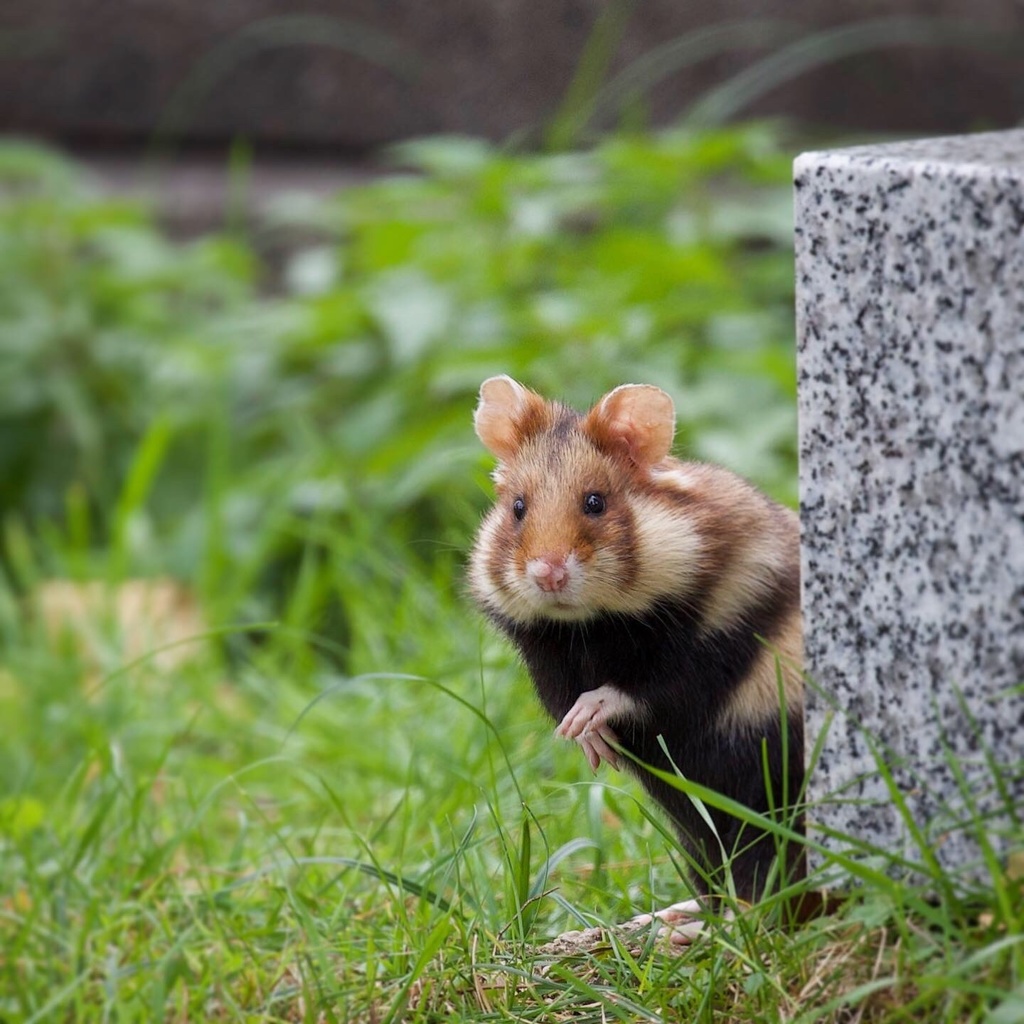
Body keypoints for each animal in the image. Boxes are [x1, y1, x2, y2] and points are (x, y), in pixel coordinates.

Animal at [468, 375, 804, 907]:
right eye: (517, 508)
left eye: (595, 502)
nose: (548, 574)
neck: (594, 627)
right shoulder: (545, 658)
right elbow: (563, 702)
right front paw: (588, 741)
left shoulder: (720, 634)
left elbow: (648, 689)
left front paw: (590, 720)